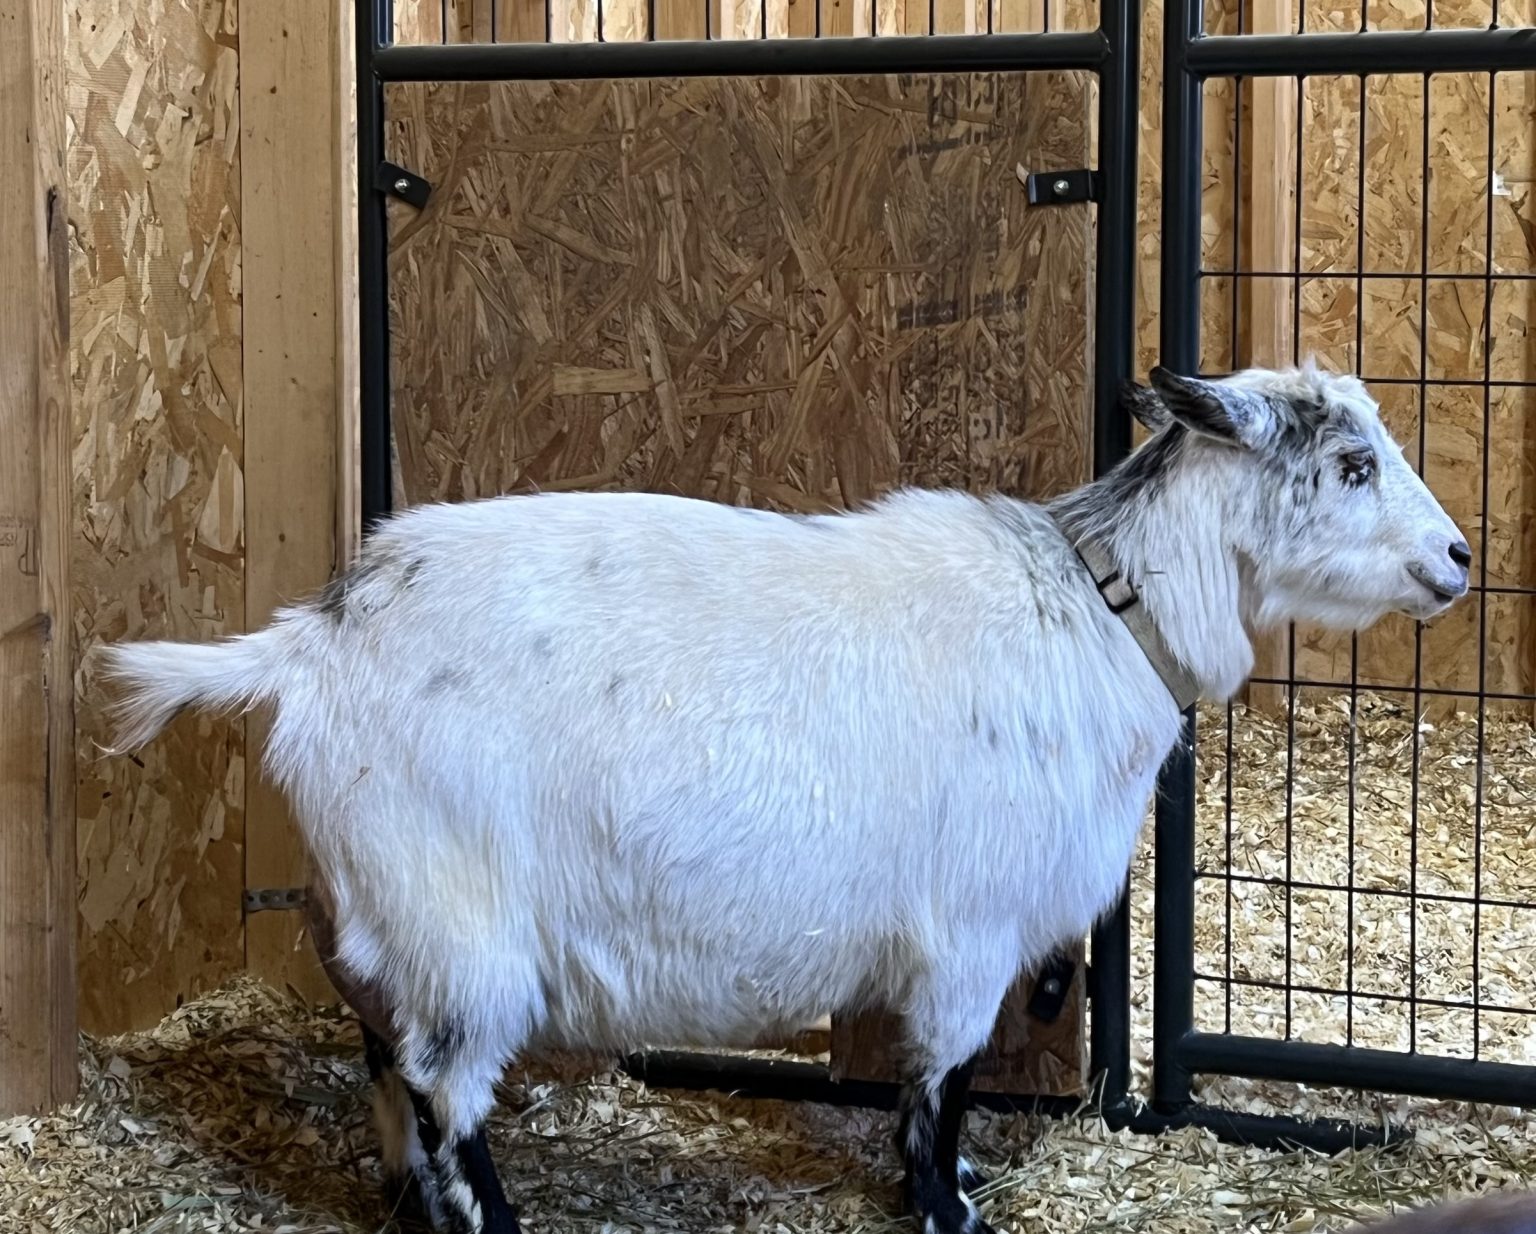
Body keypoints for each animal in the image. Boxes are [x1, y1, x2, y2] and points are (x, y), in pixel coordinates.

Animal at [98, 365, 1470, 1234]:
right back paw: (495, 1221)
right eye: (1353, 462)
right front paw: (948, 1207)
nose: (1459, 558)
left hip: (381, 918)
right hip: (455, 917)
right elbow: (939, 1086)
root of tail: (313, 643)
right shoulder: (966, 937)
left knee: (388, 1069)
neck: (1100, 610)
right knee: (443, 1091)